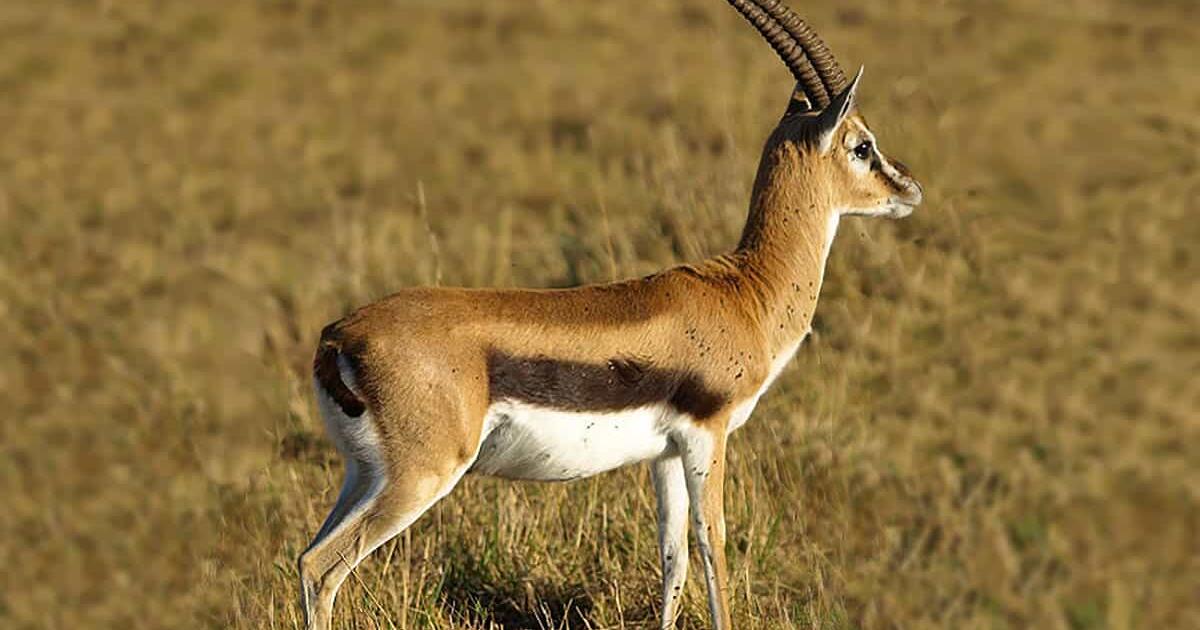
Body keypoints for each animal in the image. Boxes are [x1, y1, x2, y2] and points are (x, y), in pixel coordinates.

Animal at [298, 1, 923, 628]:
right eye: (861, 145)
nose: (911, 189)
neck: (744, 292)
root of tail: (339, 338)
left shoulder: (665, 453)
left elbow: (673, 555)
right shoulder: (707, 436)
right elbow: (712, 545)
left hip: (362, 474)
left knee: (307, 554)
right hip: (421, 475)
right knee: (321, 565)